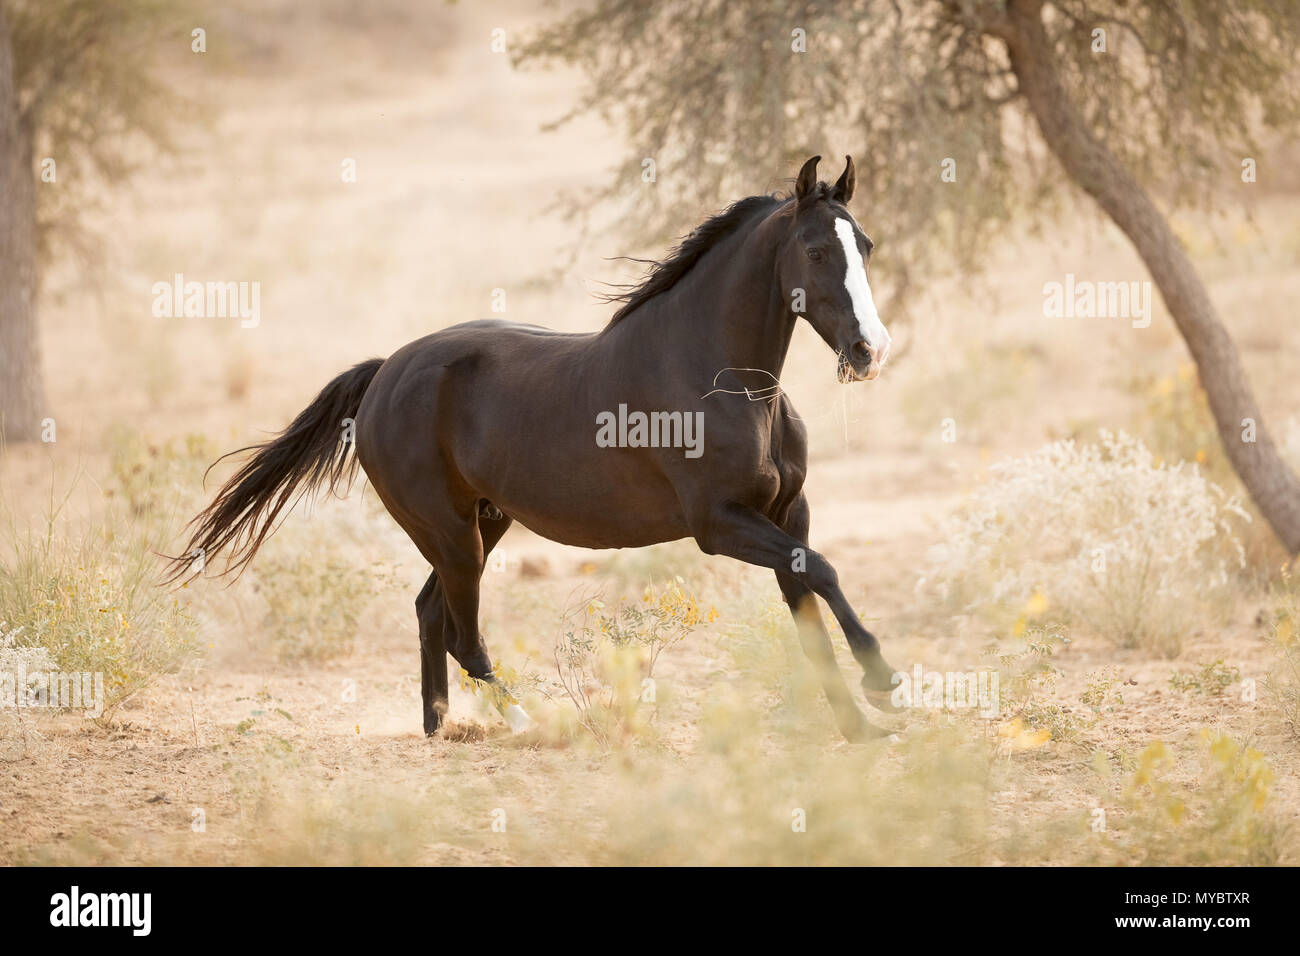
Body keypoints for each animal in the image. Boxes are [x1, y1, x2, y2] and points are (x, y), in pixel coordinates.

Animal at [167, 154, 900, 741]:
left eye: (864, 244)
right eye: (815, 251)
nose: (870, 351)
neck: (720, 379)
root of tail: (384, 374)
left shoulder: (786, 513)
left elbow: (811, 605)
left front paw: (860, 724)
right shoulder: (720, 525)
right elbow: (825, 572)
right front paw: (884, 681)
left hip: (482, 524)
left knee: (430, 614)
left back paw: (439, 730)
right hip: (451, 534)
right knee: (461, 634)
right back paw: (528, 722)